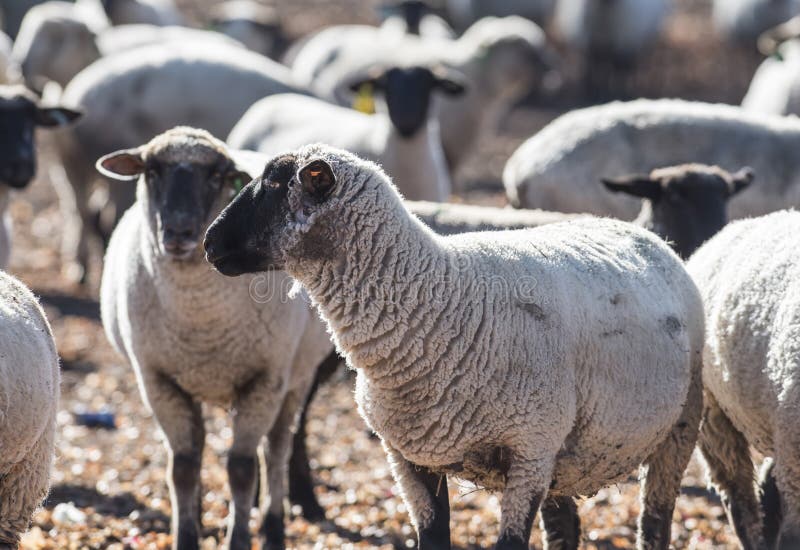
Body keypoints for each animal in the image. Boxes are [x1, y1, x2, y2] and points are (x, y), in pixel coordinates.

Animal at [52, 41, 301, 281]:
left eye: (216, 177)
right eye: (152, 172)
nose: (179, 232)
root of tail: (77, 93)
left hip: (74, 166)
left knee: (84, 212)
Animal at [98, 127, 335, 550]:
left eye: (217, 176)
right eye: (152, 171)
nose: (178, 232)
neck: (200, 319)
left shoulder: (264, 380)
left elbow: (241, 468)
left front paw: (238, 538)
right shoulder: (158, 381)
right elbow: (183, 467)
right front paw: (186, 535)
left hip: (297, 376)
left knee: (276, 450)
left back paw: (273, 527)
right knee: (203, 448)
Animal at [205, 143, 705, 550]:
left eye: (275, 184)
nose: (209, 243)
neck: (437, 301)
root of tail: (643, 234)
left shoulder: (528, 451)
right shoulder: (408, 458)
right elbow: (432, 539)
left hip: (675, 432)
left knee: (655, 524)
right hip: (564, 457)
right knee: (566, 529)